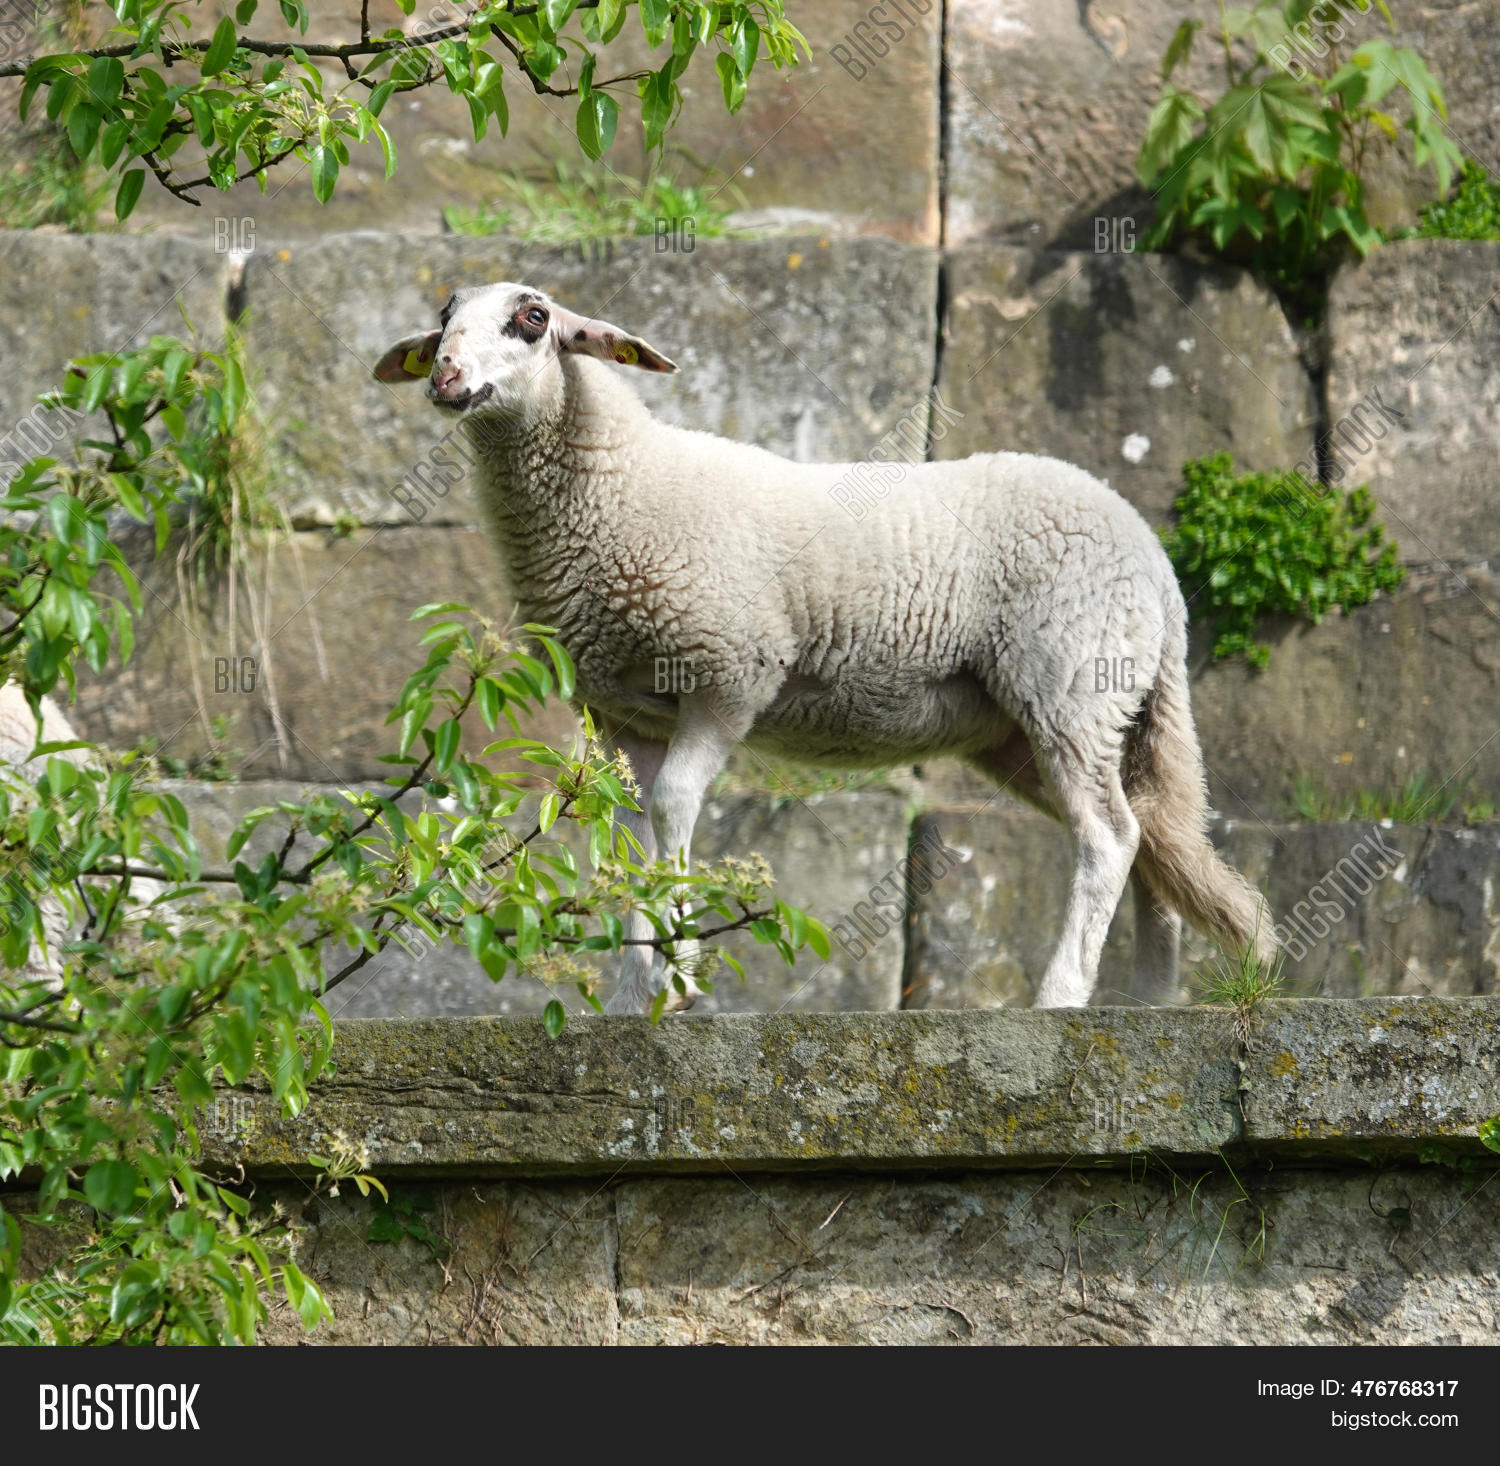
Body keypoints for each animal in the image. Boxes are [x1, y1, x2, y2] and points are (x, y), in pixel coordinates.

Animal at [374, 282, 1276, 1014]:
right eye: (444, 320)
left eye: (532, 320)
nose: (446, 378)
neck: (616, 486)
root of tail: (1155, 563)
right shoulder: (625, 710)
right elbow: (637, 839)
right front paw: (636, 992)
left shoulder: (731, 669)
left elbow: (675, 808)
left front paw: (681, 970)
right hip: (1055, 719)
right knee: (1154, 834)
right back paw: (1150, 998)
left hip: (1069, 678)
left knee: (1109, 838)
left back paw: (1060, 1000)